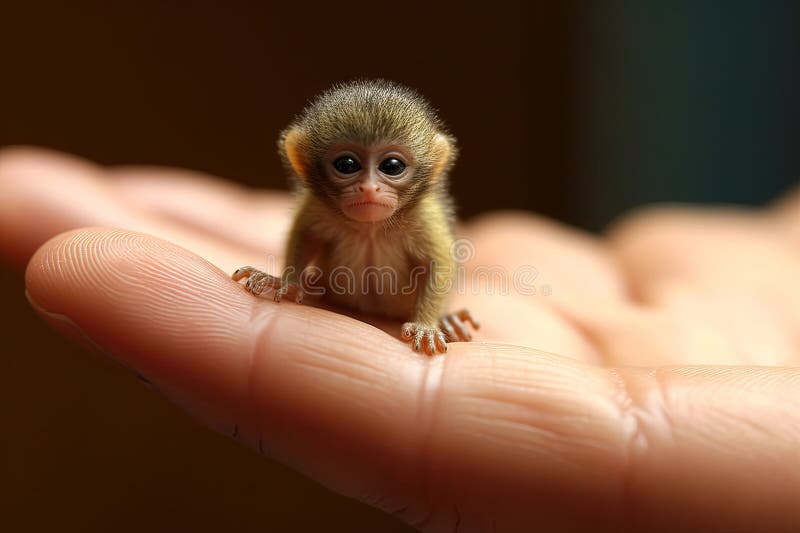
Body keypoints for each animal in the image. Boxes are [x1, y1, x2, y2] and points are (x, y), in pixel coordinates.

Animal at [232, 79, 478, 355]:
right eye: (347, 164)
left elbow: (439, 262)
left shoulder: (425, 215)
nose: (369, 188)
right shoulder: (317, 206)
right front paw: (285, 282)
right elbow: (305, 237)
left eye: (392, 166)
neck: (371, 228)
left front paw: (426, 326)